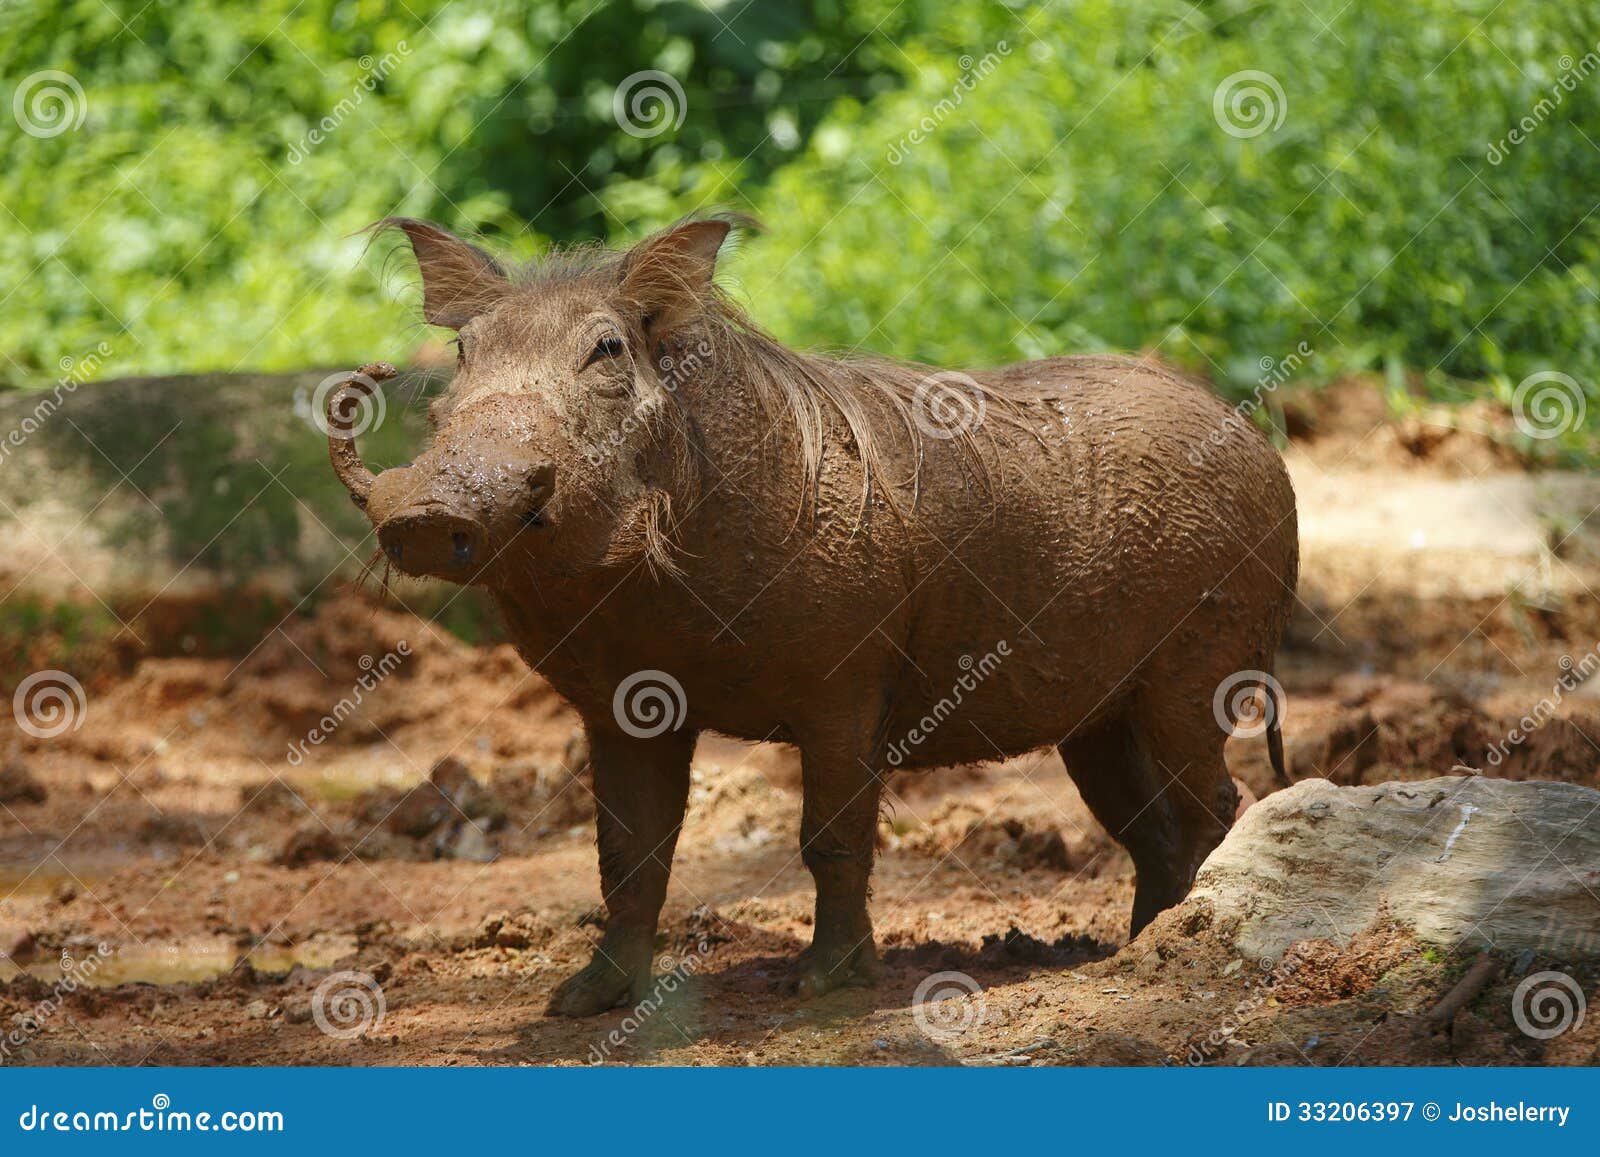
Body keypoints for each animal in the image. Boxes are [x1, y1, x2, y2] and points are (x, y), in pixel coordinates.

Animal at [326, 215, 1298, 1015]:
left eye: (606, 348)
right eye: (464, 352)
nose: (426, 512)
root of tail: (1257, 441)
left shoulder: (844, 695)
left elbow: (832, 840)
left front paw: (829, 982)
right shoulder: (620, 711)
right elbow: (629, 857)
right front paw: (588, 999)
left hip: (1192, 683)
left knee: (1212, 805)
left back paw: (1165, 952)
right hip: (1097, 718)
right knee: (1150, 828)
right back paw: (1133, 947)